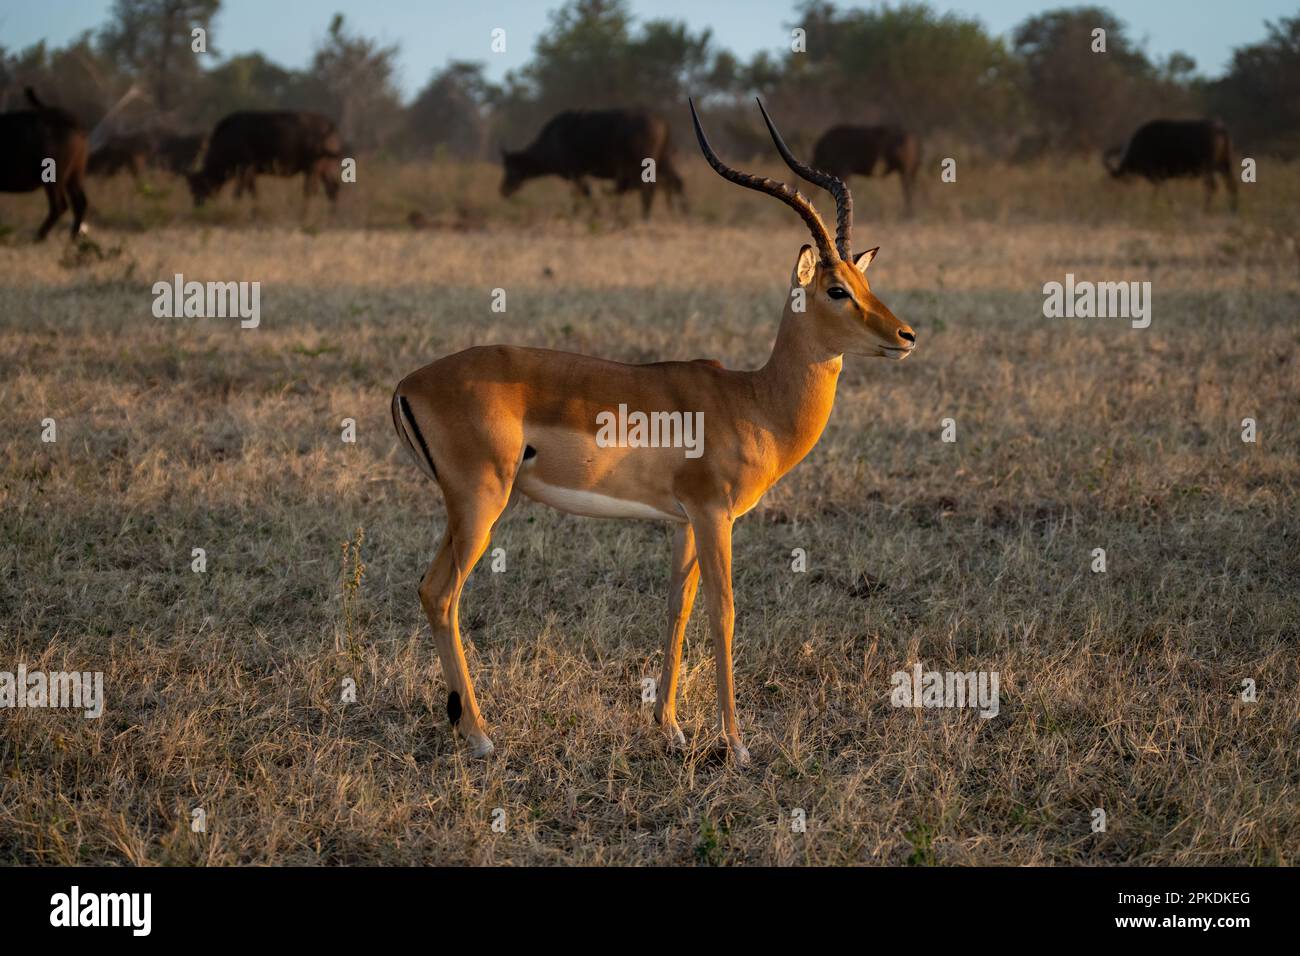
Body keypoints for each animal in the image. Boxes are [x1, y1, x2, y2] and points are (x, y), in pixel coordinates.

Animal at [391, 99, 915, 765]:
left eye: (865, 282)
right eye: (836, 289)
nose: (905, 336)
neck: (751, 401)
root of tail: (408, 383)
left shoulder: (683, 520)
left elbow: (677, 609)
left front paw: (669, 726)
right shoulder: (715, 514)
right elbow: (724, 611)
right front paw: (736, 744)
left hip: (461, 510)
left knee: (430, 590)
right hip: (481, 503)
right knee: (441, 593)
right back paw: (482, 736)